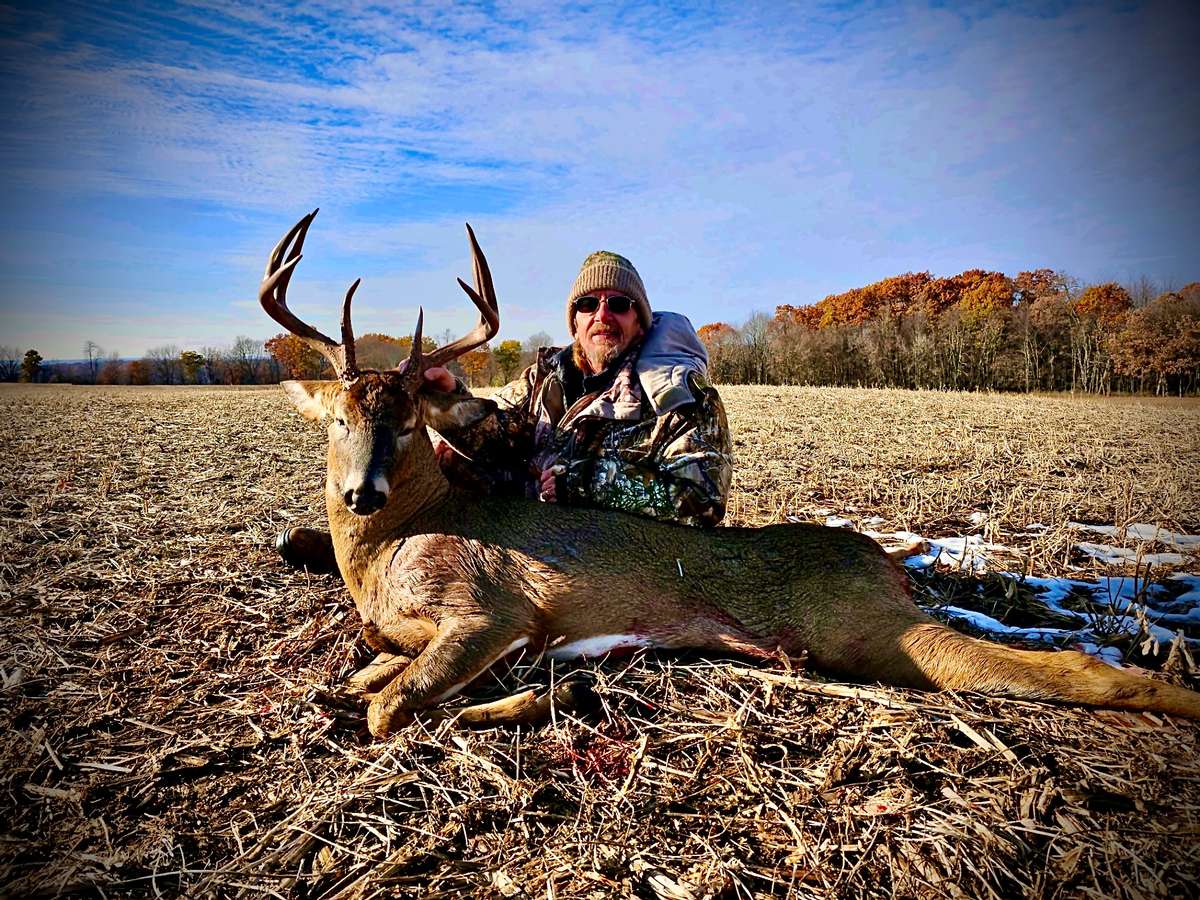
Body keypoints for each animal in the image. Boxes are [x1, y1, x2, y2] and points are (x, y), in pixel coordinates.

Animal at [260, 210, 1200, 738]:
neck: (391, 549)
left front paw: (509, 700)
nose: (362, 492)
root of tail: (882, 557)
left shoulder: (493, 608)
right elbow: (363, 675)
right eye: (339, 418)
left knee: (1069, 668)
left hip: (868, 629)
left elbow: (389, 704)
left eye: (406, 420)